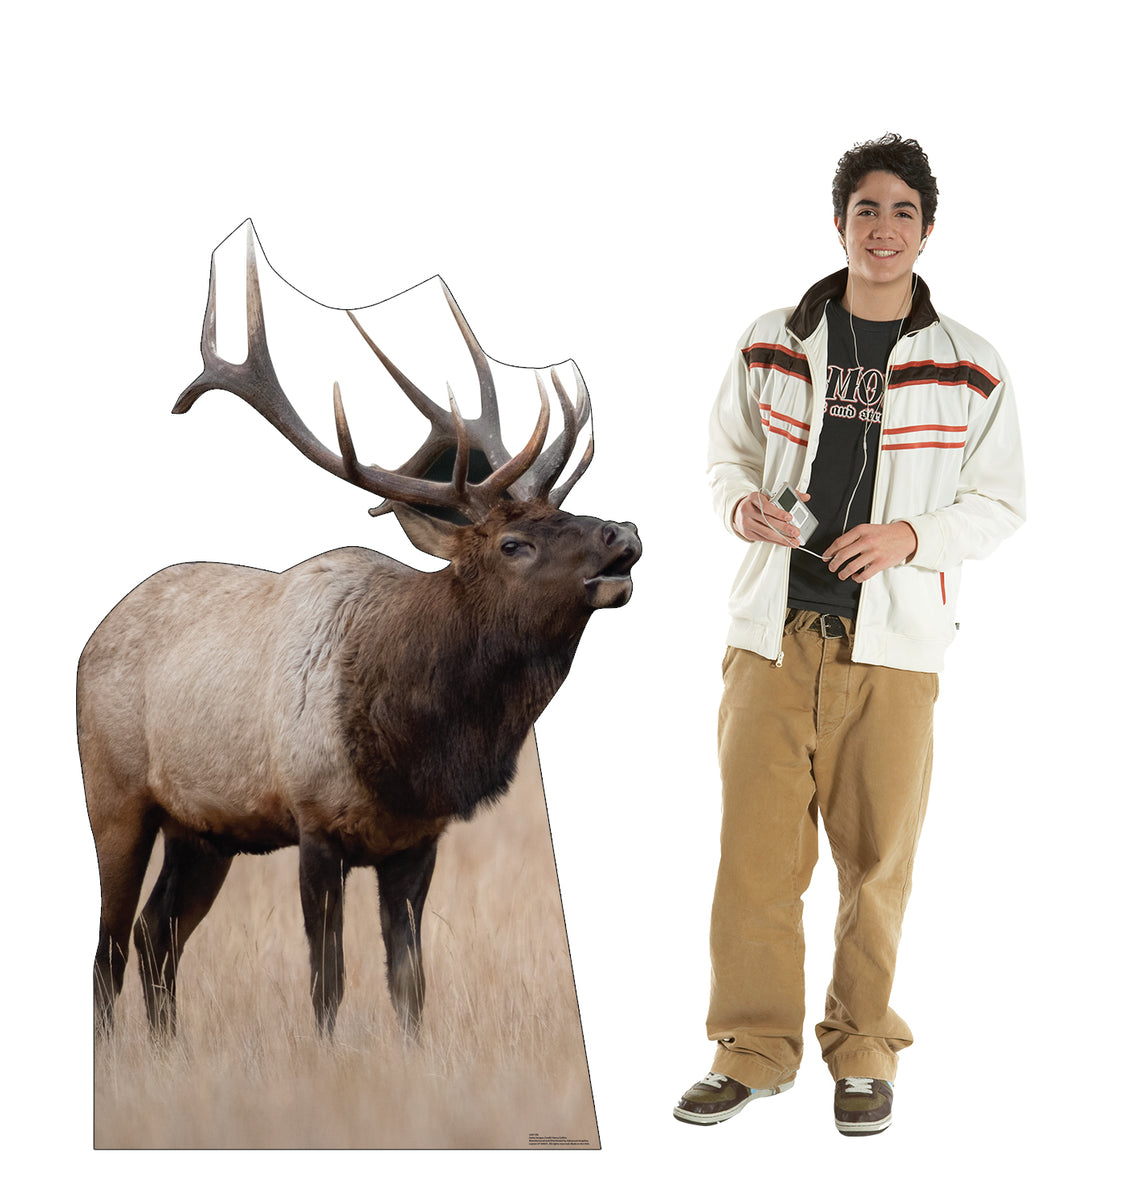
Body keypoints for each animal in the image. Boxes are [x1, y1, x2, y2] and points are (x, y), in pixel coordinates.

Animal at [80, 230, 641, 1040]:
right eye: (514, 544)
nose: (623, 532)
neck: (413, 743)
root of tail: (91, 636)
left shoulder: (415, 841)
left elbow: (409, 983)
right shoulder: (316, 823)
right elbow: (329, 981)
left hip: (204, 828)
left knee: (159, 935)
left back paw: (165, 1051)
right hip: (116, 798)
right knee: (111, 947)